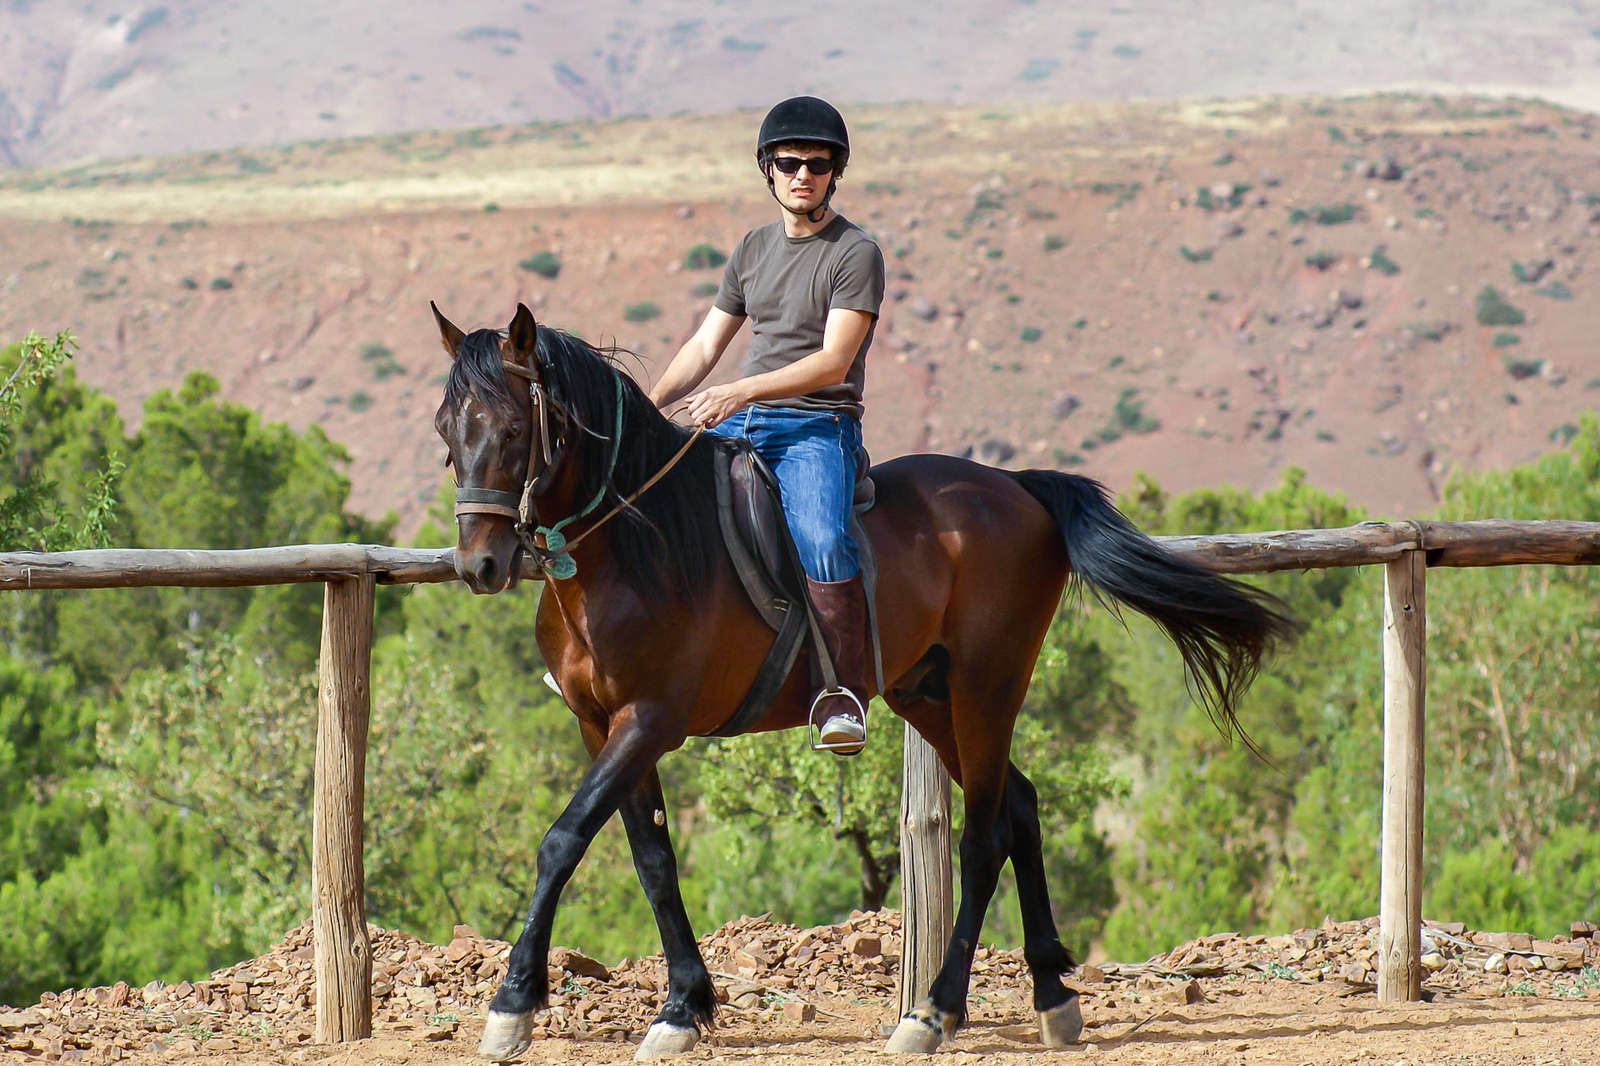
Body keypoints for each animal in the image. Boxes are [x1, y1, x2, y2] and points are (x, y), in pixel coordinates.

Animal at [430, 302, 1297, 1060]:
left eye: (513, 430)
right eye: (446, 431)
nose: (479, 566)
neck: (634, 548)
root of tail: (1016, 487)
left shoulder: (648, 719)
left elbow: (562, 840)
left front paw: (512, 1006)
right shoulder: (602, 724)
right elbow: (652, 859)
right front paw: (683, 1007)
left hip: (988, 685)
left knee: (983, 836)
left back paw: (934, 1014)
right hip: (928, 694)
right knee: (1020, 808)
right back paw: (1053, 997)